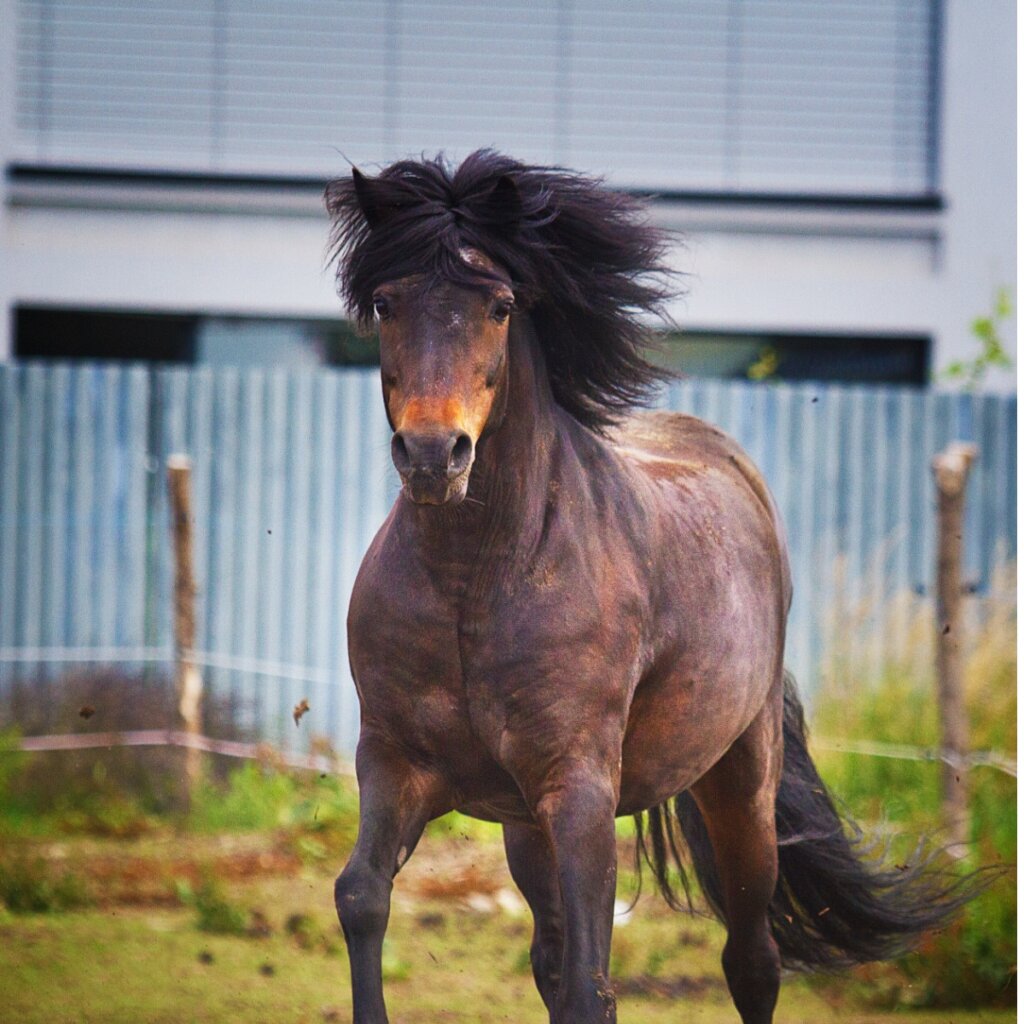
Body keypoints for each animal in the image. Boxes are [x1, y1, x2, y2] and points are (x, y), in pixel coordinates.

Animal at [324, 150, 973, 1024]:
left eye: (498, 305)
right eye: (387, 302)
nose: (433, 454)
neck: (475, 581)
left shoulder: (580, 792)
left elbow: (593, 983)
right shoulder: (395, 763)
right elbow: (362, 897)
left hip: (739, 789)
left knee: (751, 959)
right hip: (526, 825)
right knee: (553, 957)